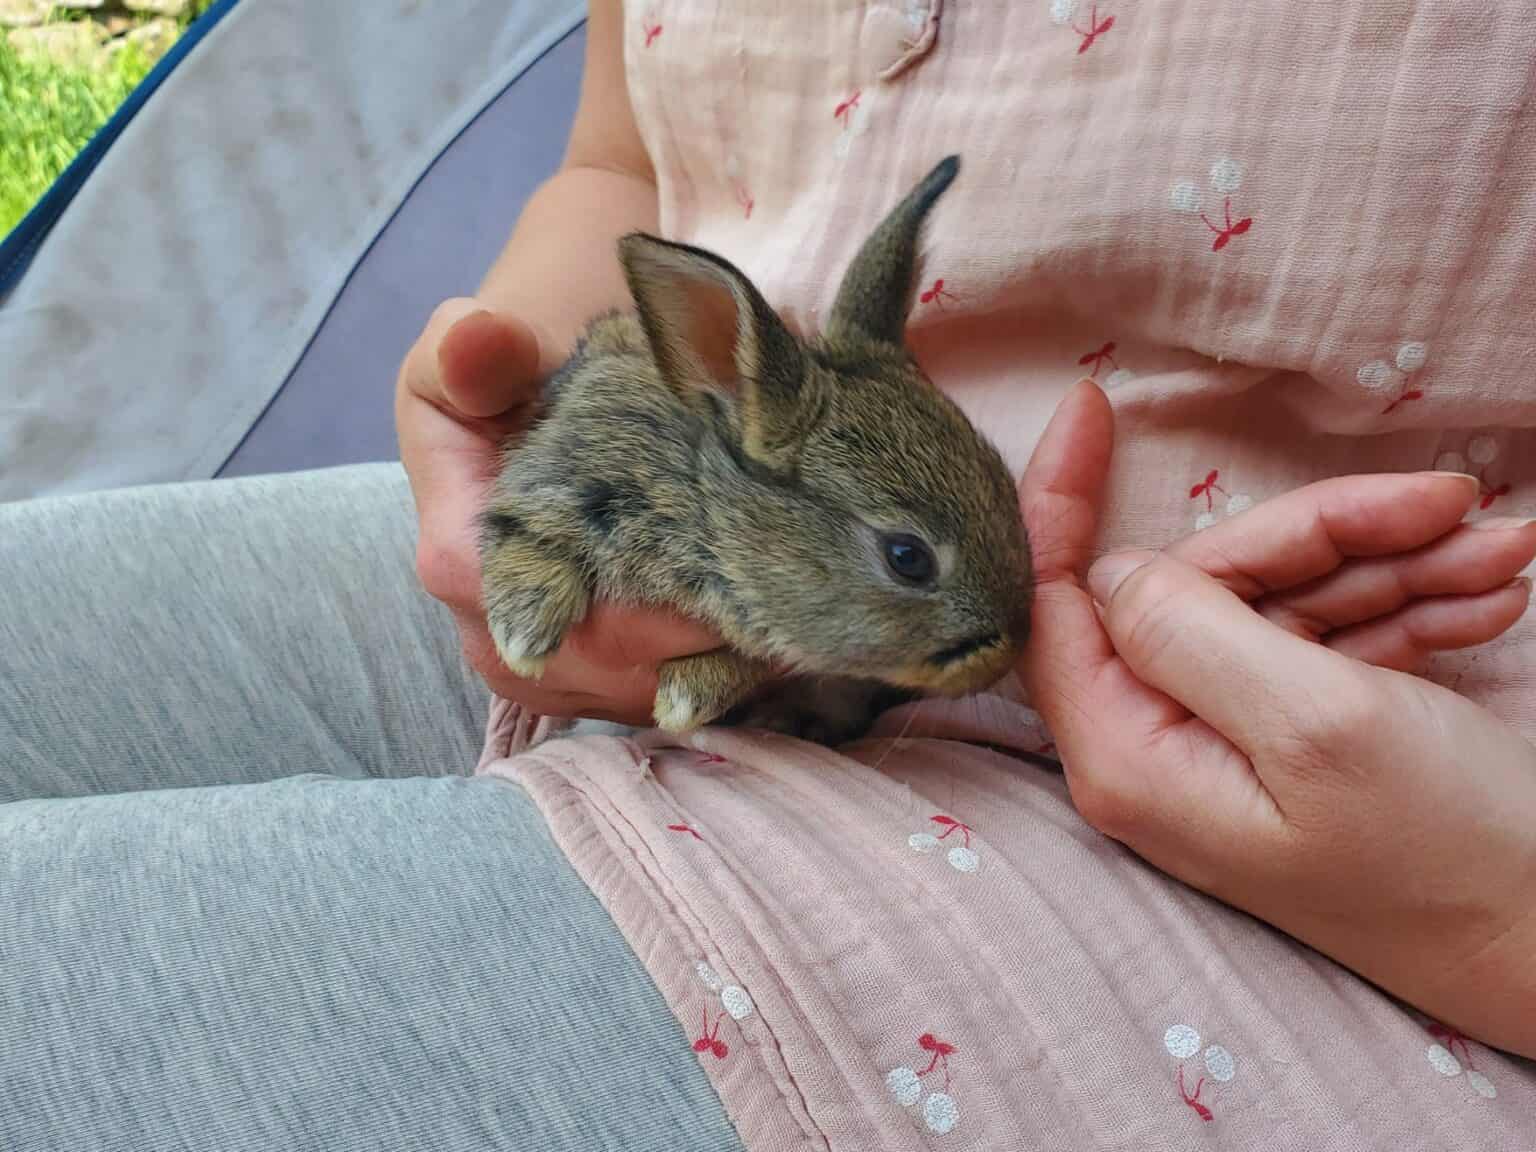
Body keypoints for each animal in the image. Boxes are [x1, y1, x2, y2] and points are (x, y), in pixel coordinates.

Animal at [479, 154, 1032, 744]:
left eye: (1005, 481)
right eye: (908, 557)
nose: (1011, 651)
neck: (703, 509)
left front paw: (686, 697)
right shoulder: (558, 474)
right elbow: (523, 536)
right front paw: (522, 637)